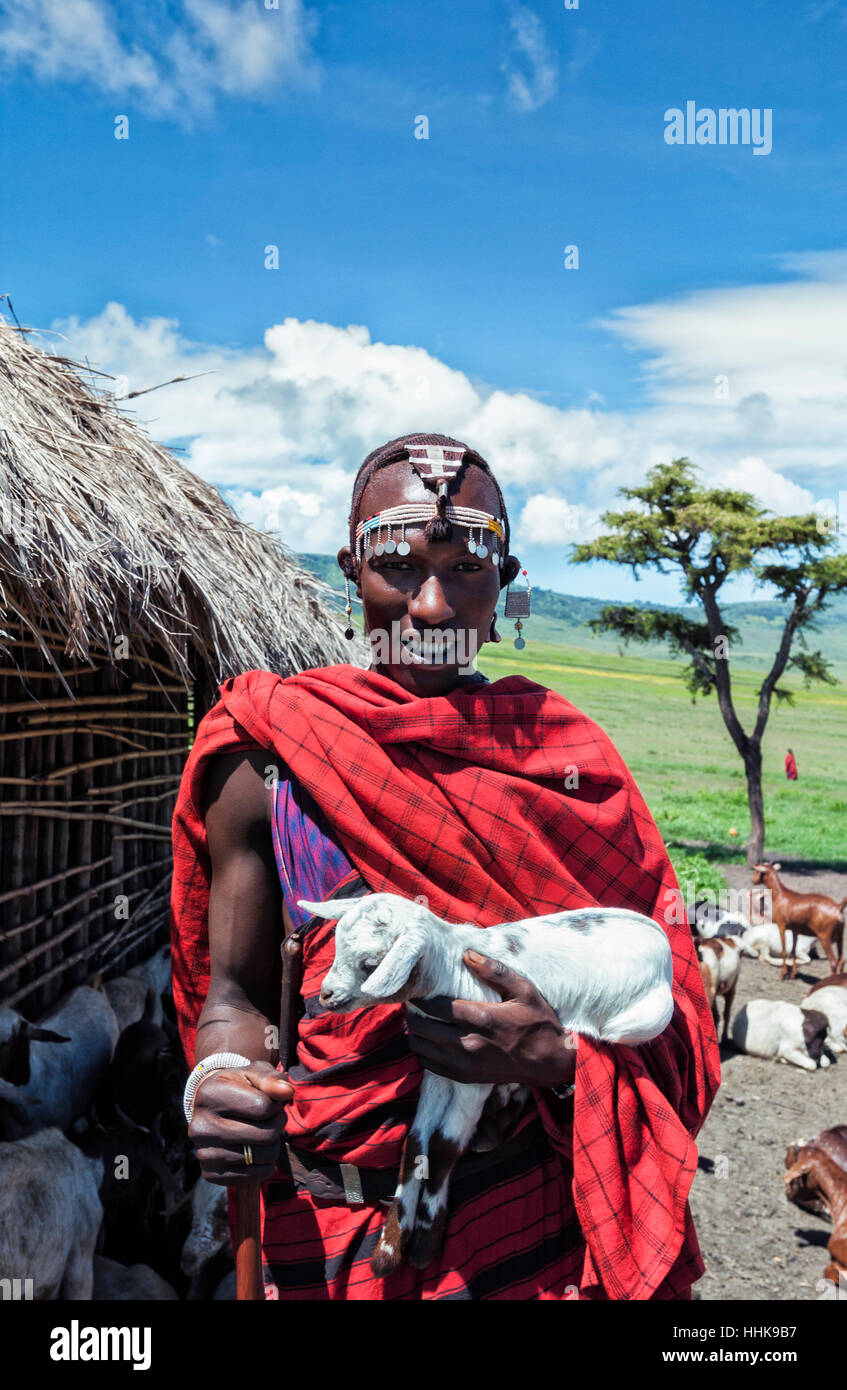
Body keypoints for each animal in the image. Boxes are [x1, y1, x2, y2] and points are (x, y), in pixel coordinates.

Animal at [300, 891, 674, 1278]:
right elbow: (415, 1142)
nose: (326, 995)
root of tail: (661, 942)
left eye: (371, 964)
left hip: (638, 1020)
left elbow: (444, 1146)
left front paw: (424, 1243)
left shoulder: (472, 1072)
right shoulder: (438, 1071)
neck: (450, 969)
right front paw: (390, 1247)